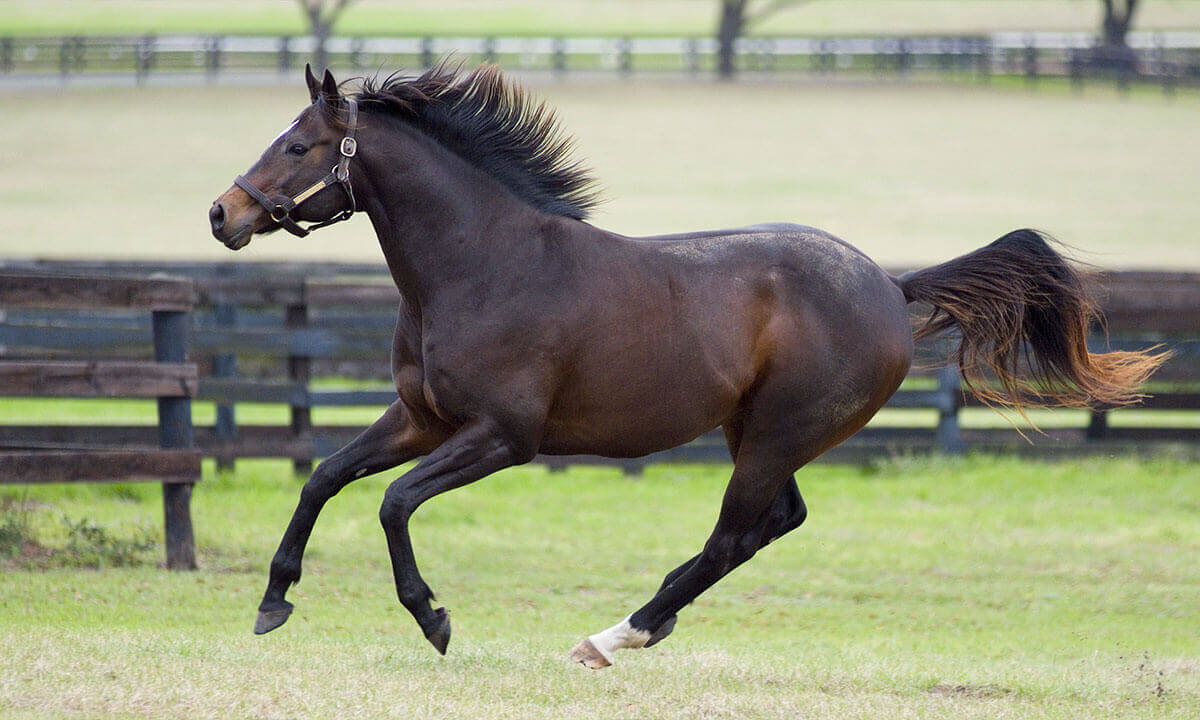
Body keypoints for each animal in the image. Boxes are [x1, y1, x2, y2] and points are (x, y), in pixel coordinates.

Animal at [209, 64, 1165, 669]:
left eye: (297, 147)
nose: (223, 214)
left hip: (776, 433)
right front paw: (271, 602)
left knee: (736, 534)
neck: (483, 263)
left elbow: (393, 502)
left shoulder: (502, 437)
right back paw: (641, 628)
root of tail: (892, 289)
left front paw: (434, 619)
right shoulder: (421, 418)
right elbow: (324, 476)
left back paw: (614, 638)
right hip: (757, 433)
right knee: (775, 522)